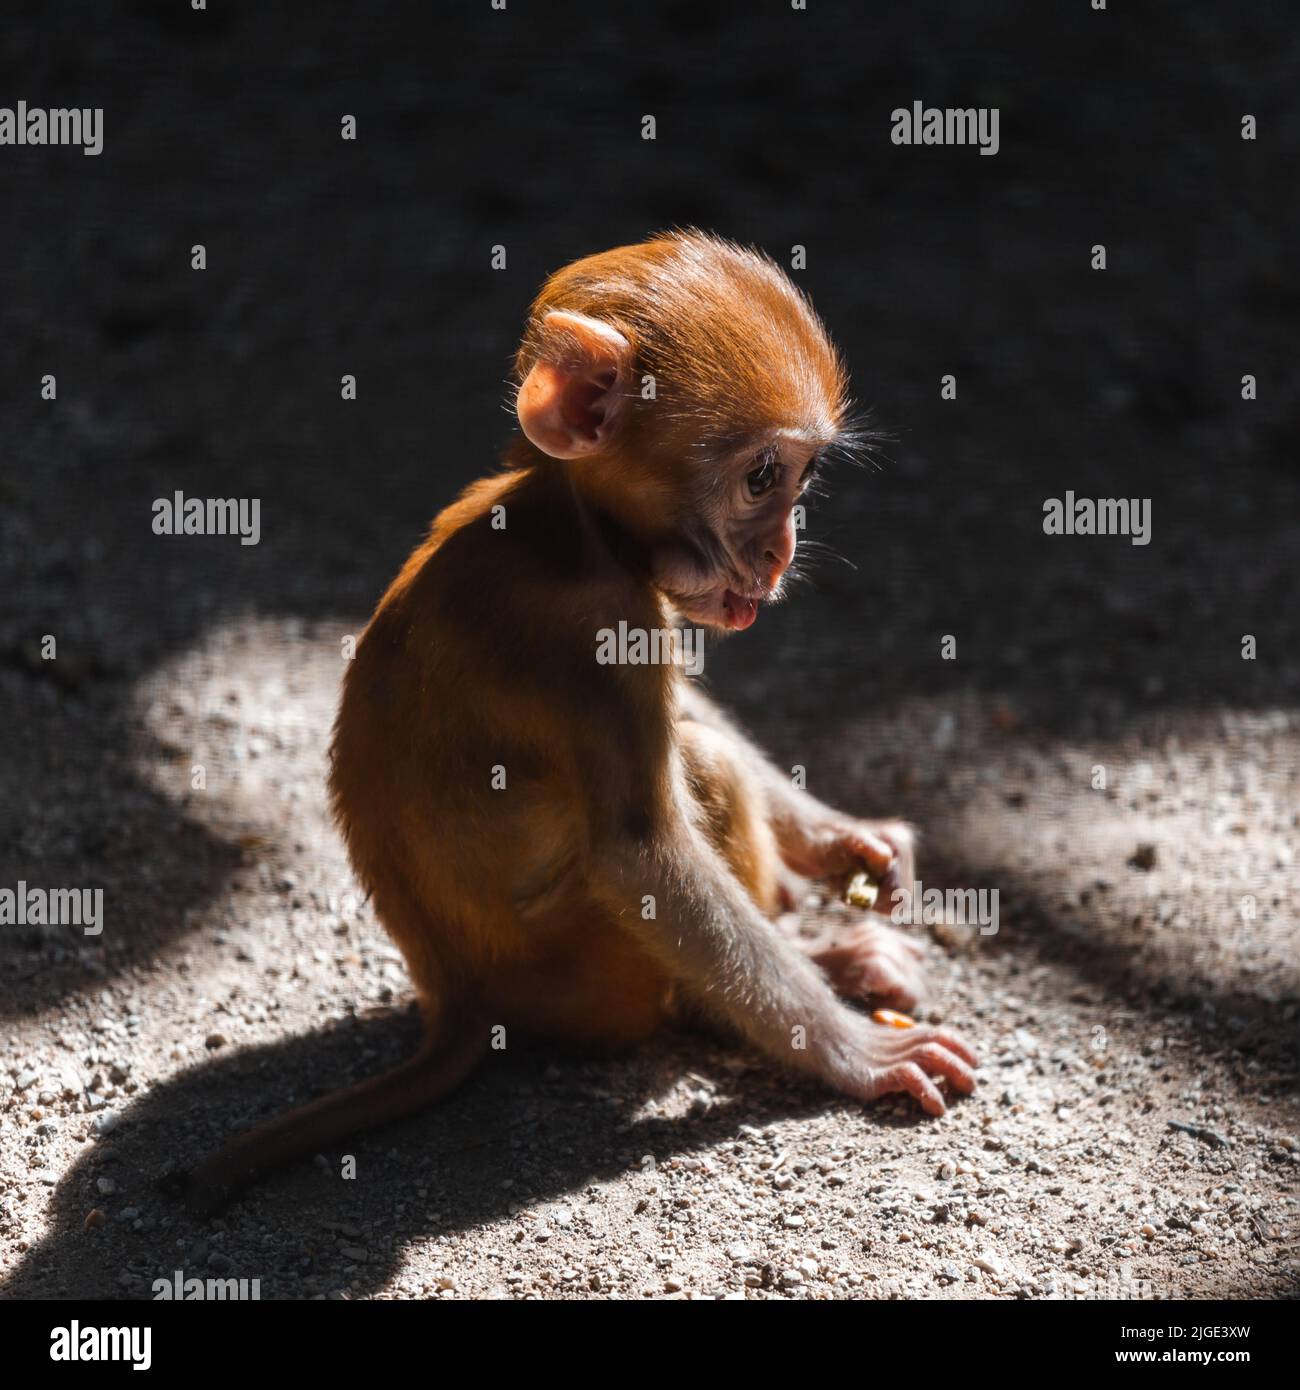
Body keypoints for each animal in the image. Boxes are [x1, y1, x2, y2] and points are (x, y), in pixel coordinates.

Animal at [174, 231, 977, 1214]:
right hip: (594, 974)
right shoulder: (595, 636)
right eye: (761, 478)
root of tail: (458, 997)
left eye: (805, 476)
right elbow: (641, 855)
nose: (781, 553)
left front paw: (846, 841)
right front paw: (853, 1053)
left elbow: (694, 720)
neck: (571, 525)